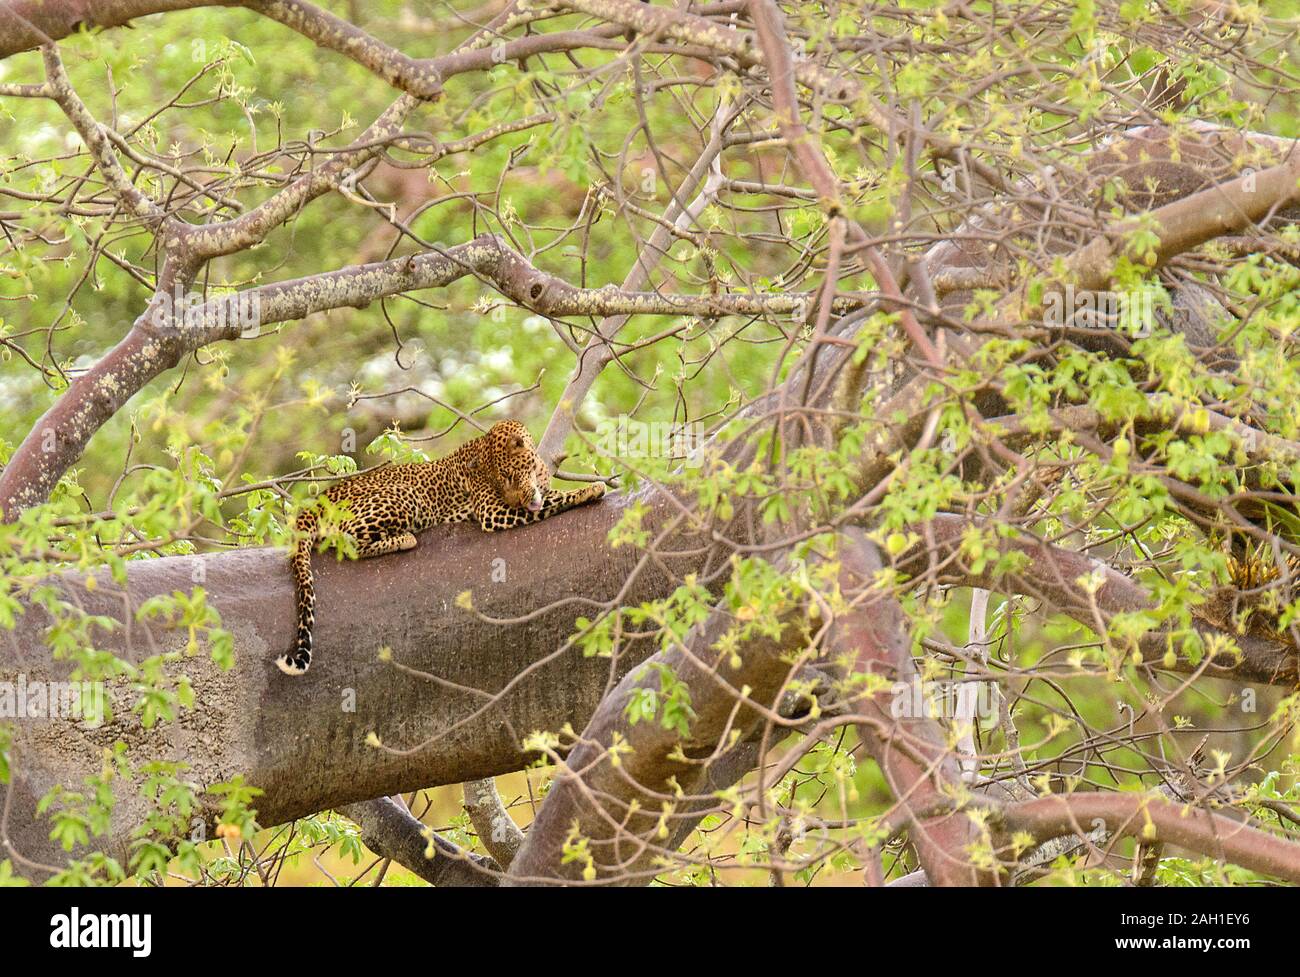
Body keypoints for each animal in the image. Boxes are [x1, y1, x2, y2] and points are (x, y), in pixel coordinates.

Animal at [277, 419, 606, 675]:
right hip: (401, 496)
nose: (519, 500)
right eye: (502, 480)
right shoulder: (492, 511)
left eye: (510, 476)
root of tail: (319, 501)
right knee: (348, 540)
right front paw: (590, 489)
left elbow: (547, 496)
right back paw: (405, 538)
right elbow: (551, 501)